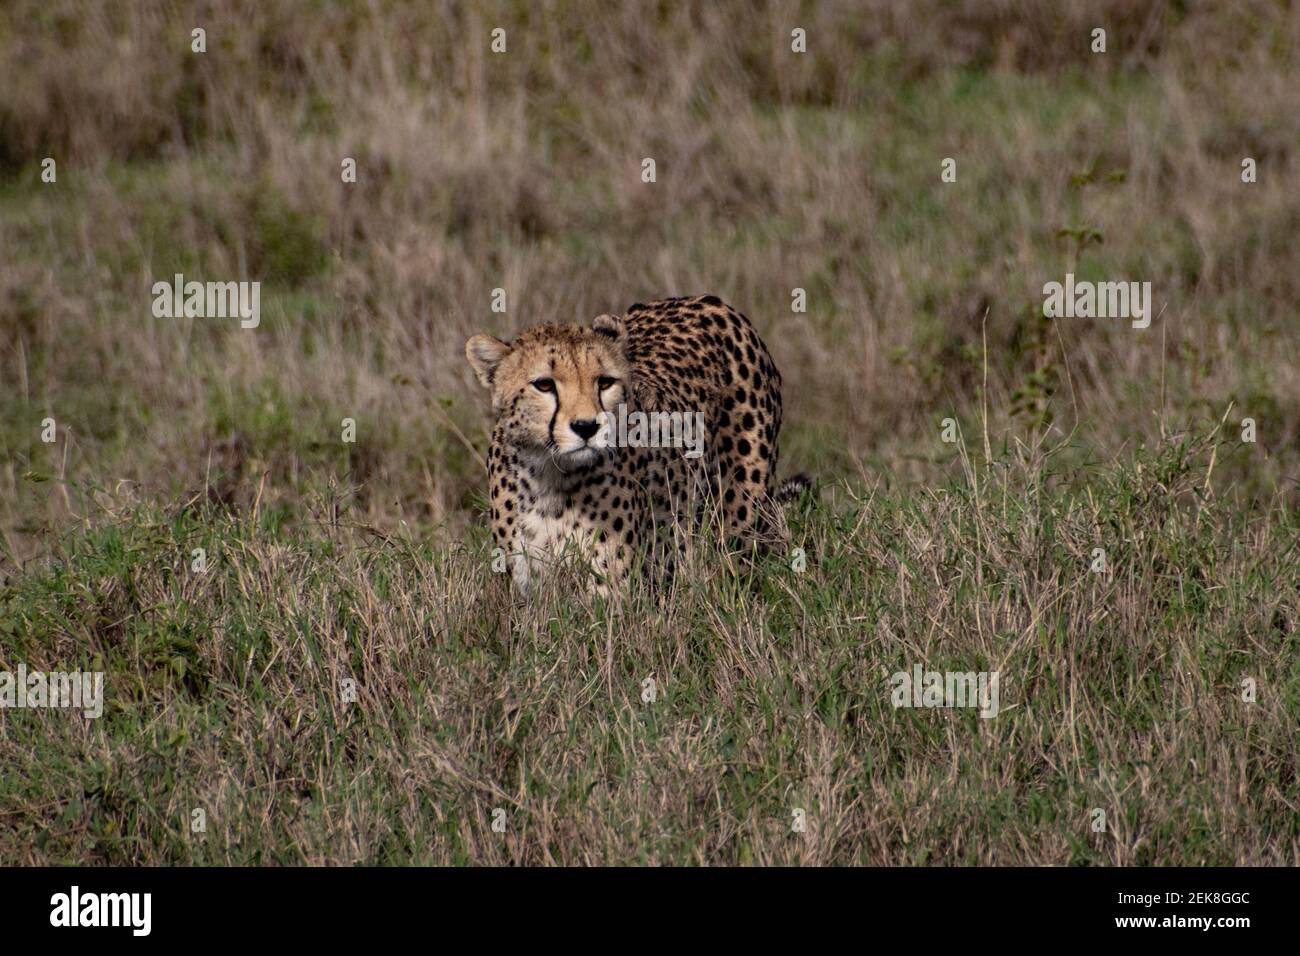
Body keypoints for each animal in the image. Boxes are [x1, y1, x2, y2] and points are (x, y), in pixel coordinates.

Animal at [465, 294, 808, 596]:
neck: (552, 477)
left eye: (605, 382)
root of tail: (708, 301)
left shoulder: (611, 587)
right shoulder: (529, 586)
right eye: (544, 385)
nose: (587, 427)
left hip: (740, 517)